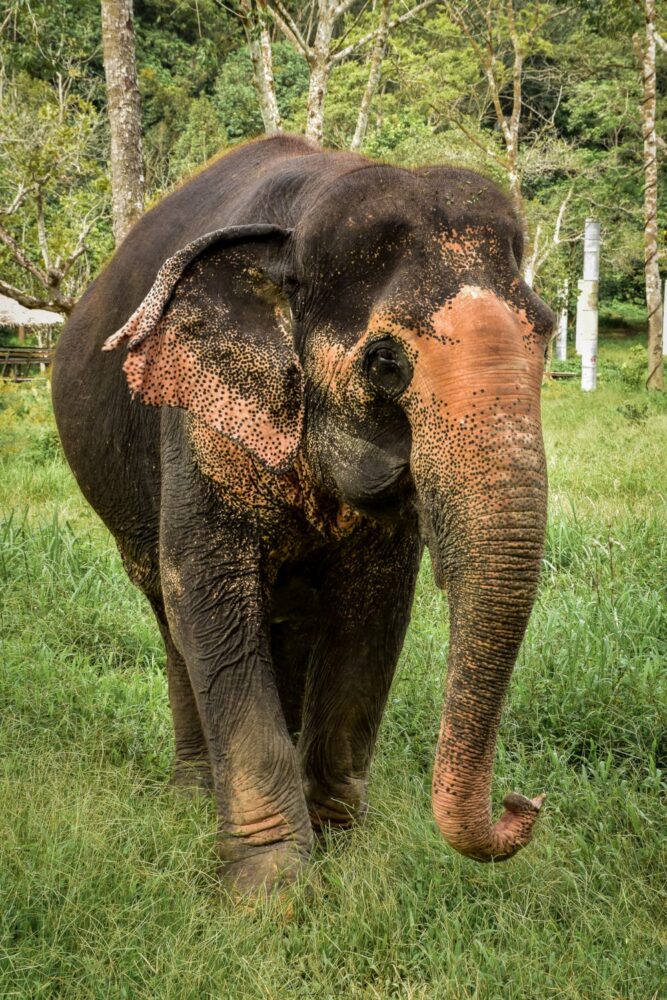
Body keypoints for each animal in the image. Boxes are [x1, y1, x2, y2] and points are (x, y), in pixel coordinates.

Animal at [52, 133, 553, 894]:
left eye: (549, 334)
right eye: (385, 364)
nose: (525, 803)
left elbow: (372, 610)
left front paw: (340, 847)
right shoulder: (199, 417)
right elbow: (207, 591)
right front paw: (273, 890)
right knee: (170, 612)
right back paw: (192, 794)